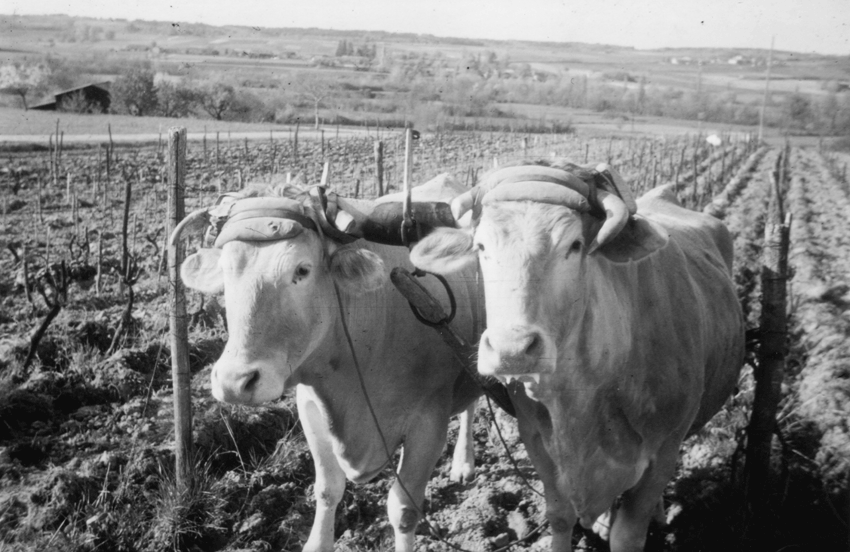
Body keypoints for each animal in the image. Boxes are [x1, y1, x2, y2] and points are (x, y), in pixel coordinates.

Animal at [176, 175, 484, 552]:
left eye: (302, 270)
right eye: (225, 270)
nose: (235, 382)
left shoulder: (429, 422)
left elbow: (403, 509)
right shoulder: (311, 406)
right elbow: (327, 489)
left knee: (471, 405)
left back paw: (463, 462)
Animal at [409, 159, 745, 552]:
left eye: (574, 245)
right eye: (481, 246)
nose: (512, 350)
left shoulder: (664, 451)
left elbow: (629, 534)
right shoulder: (539, 444)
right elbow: (560, 515)